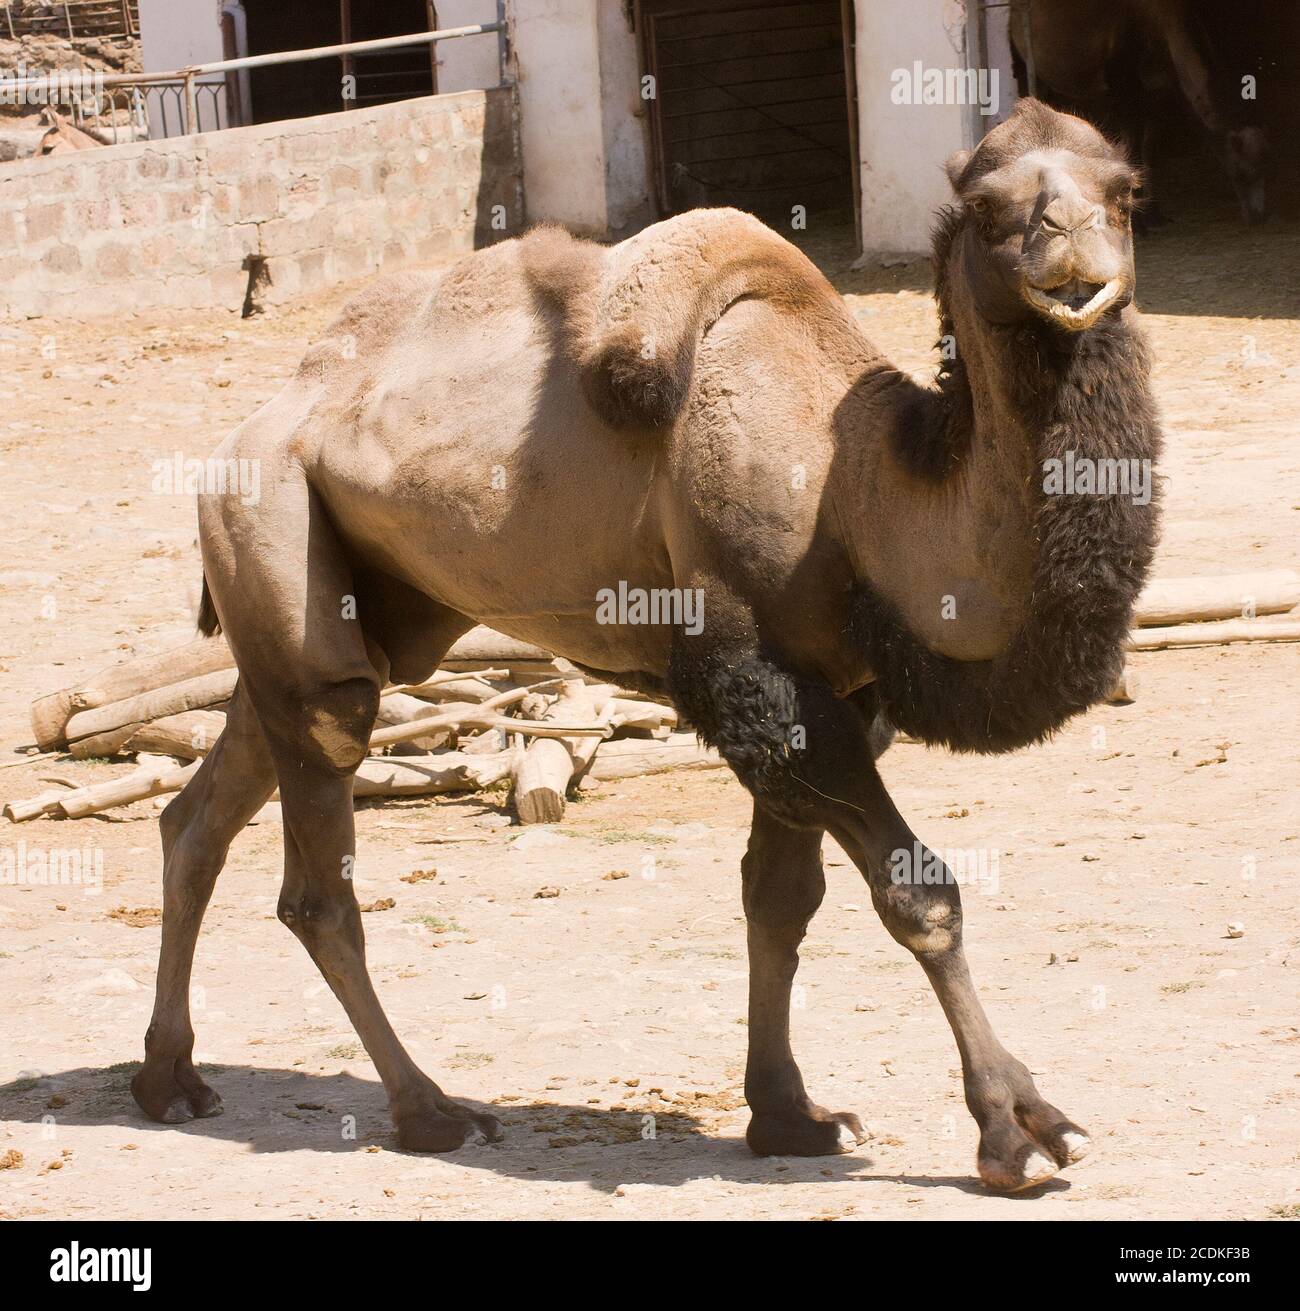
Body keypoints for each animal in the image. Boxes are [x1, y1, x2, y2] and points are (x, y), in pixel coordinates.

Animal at [131, 98, 1162, 1192]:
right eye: (987, 202)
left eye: (1124, 190)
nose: (1073, 246)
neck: (858, 485)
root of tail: (245, 434)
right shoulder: (755, 676)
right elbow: (917, 892)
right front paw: (1021, 1129)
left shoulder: (837, 687)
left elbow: (780, 897)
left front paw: (791, 1116)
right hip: (269, 523)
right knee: (318, 864)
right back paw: (429, 1111)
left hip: (353, 614)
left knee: (200, 815)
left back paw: (169, 1080)